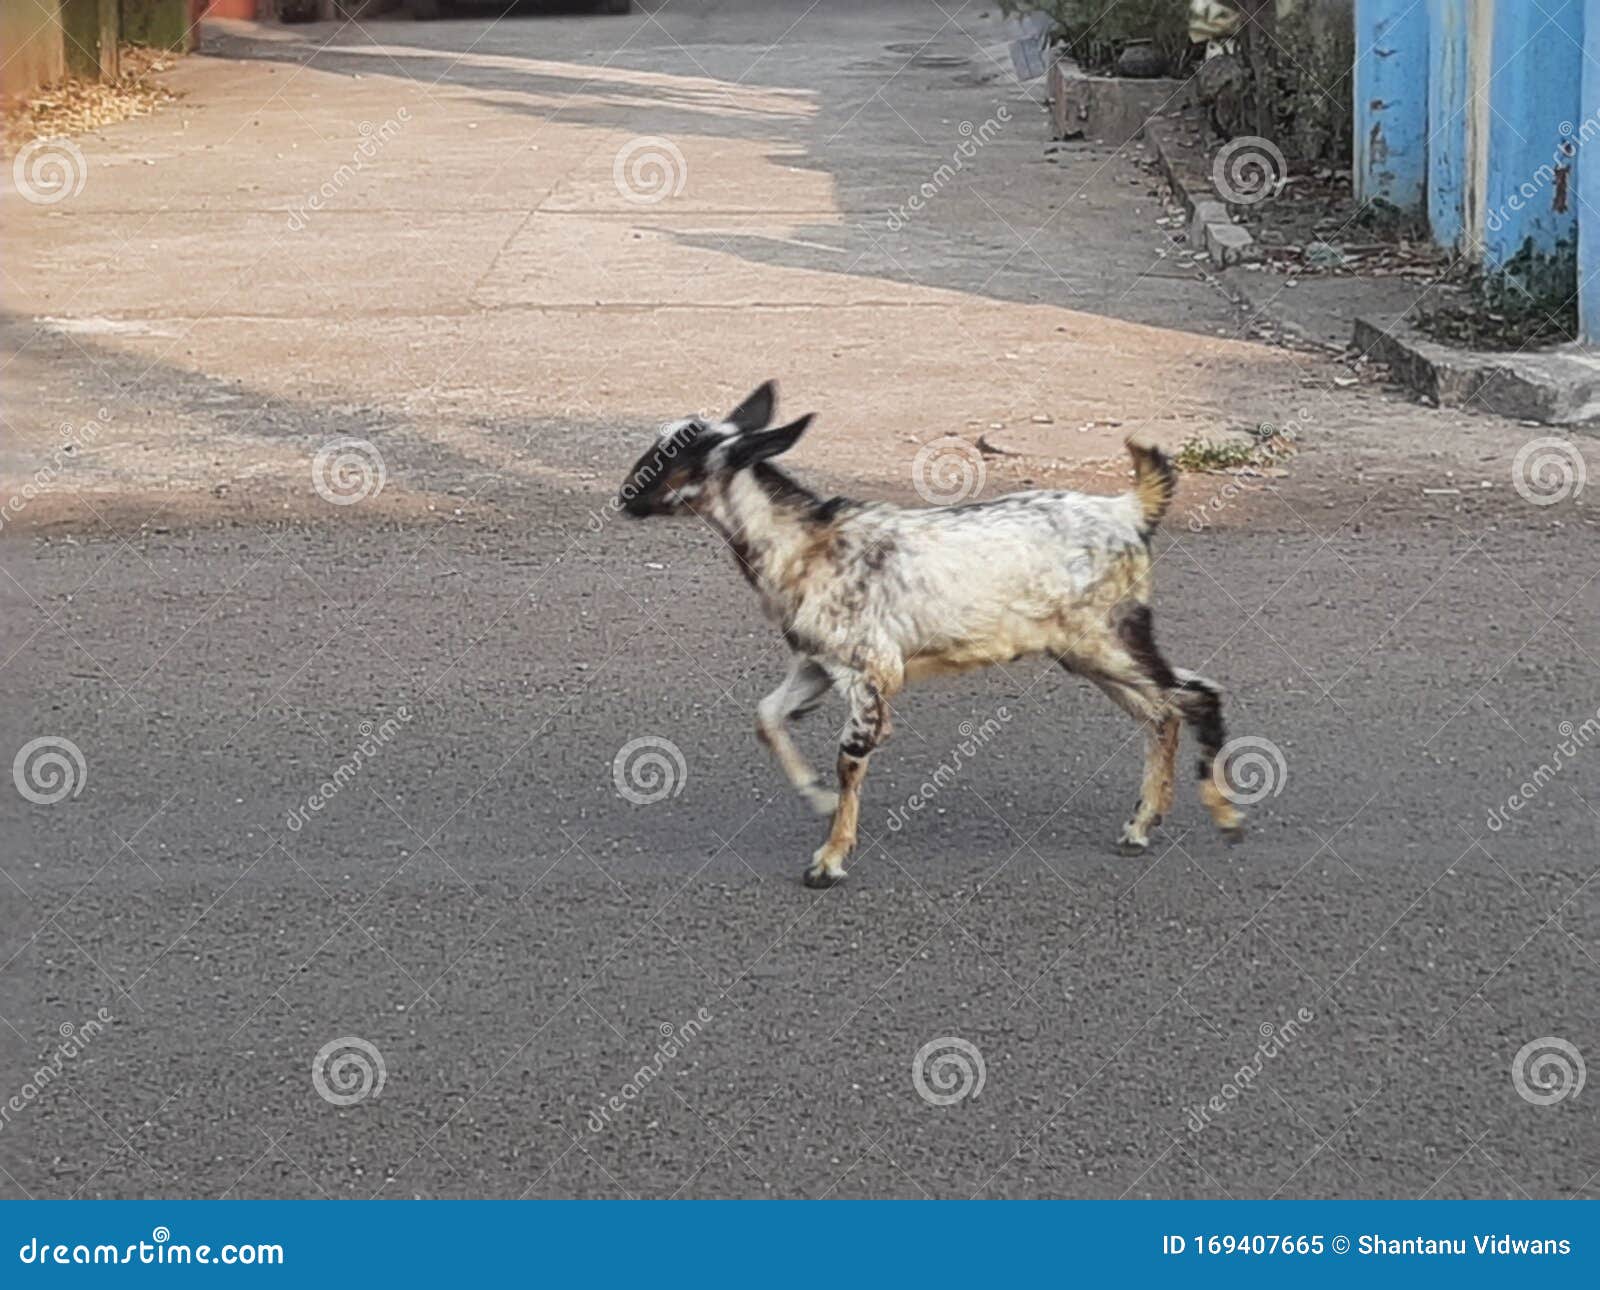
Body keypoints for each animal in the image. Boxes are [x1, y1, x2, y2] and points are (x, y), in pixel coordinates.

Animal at [619, 382, 1244, 887]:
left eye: (677, 455)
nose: (625, 498)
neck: (805, 546)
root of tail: (1129, 509)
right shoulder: (816, 663)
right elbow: (767, 717)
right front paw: (817, 797)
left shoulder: (871, 670)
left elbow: (851, 757)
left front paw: (829, 859)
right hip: (1088, 650)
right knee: (1162, 711)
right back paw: (1142, 826)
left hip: (1108, 636)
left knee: (1194, 696)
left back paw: (1225, 816)